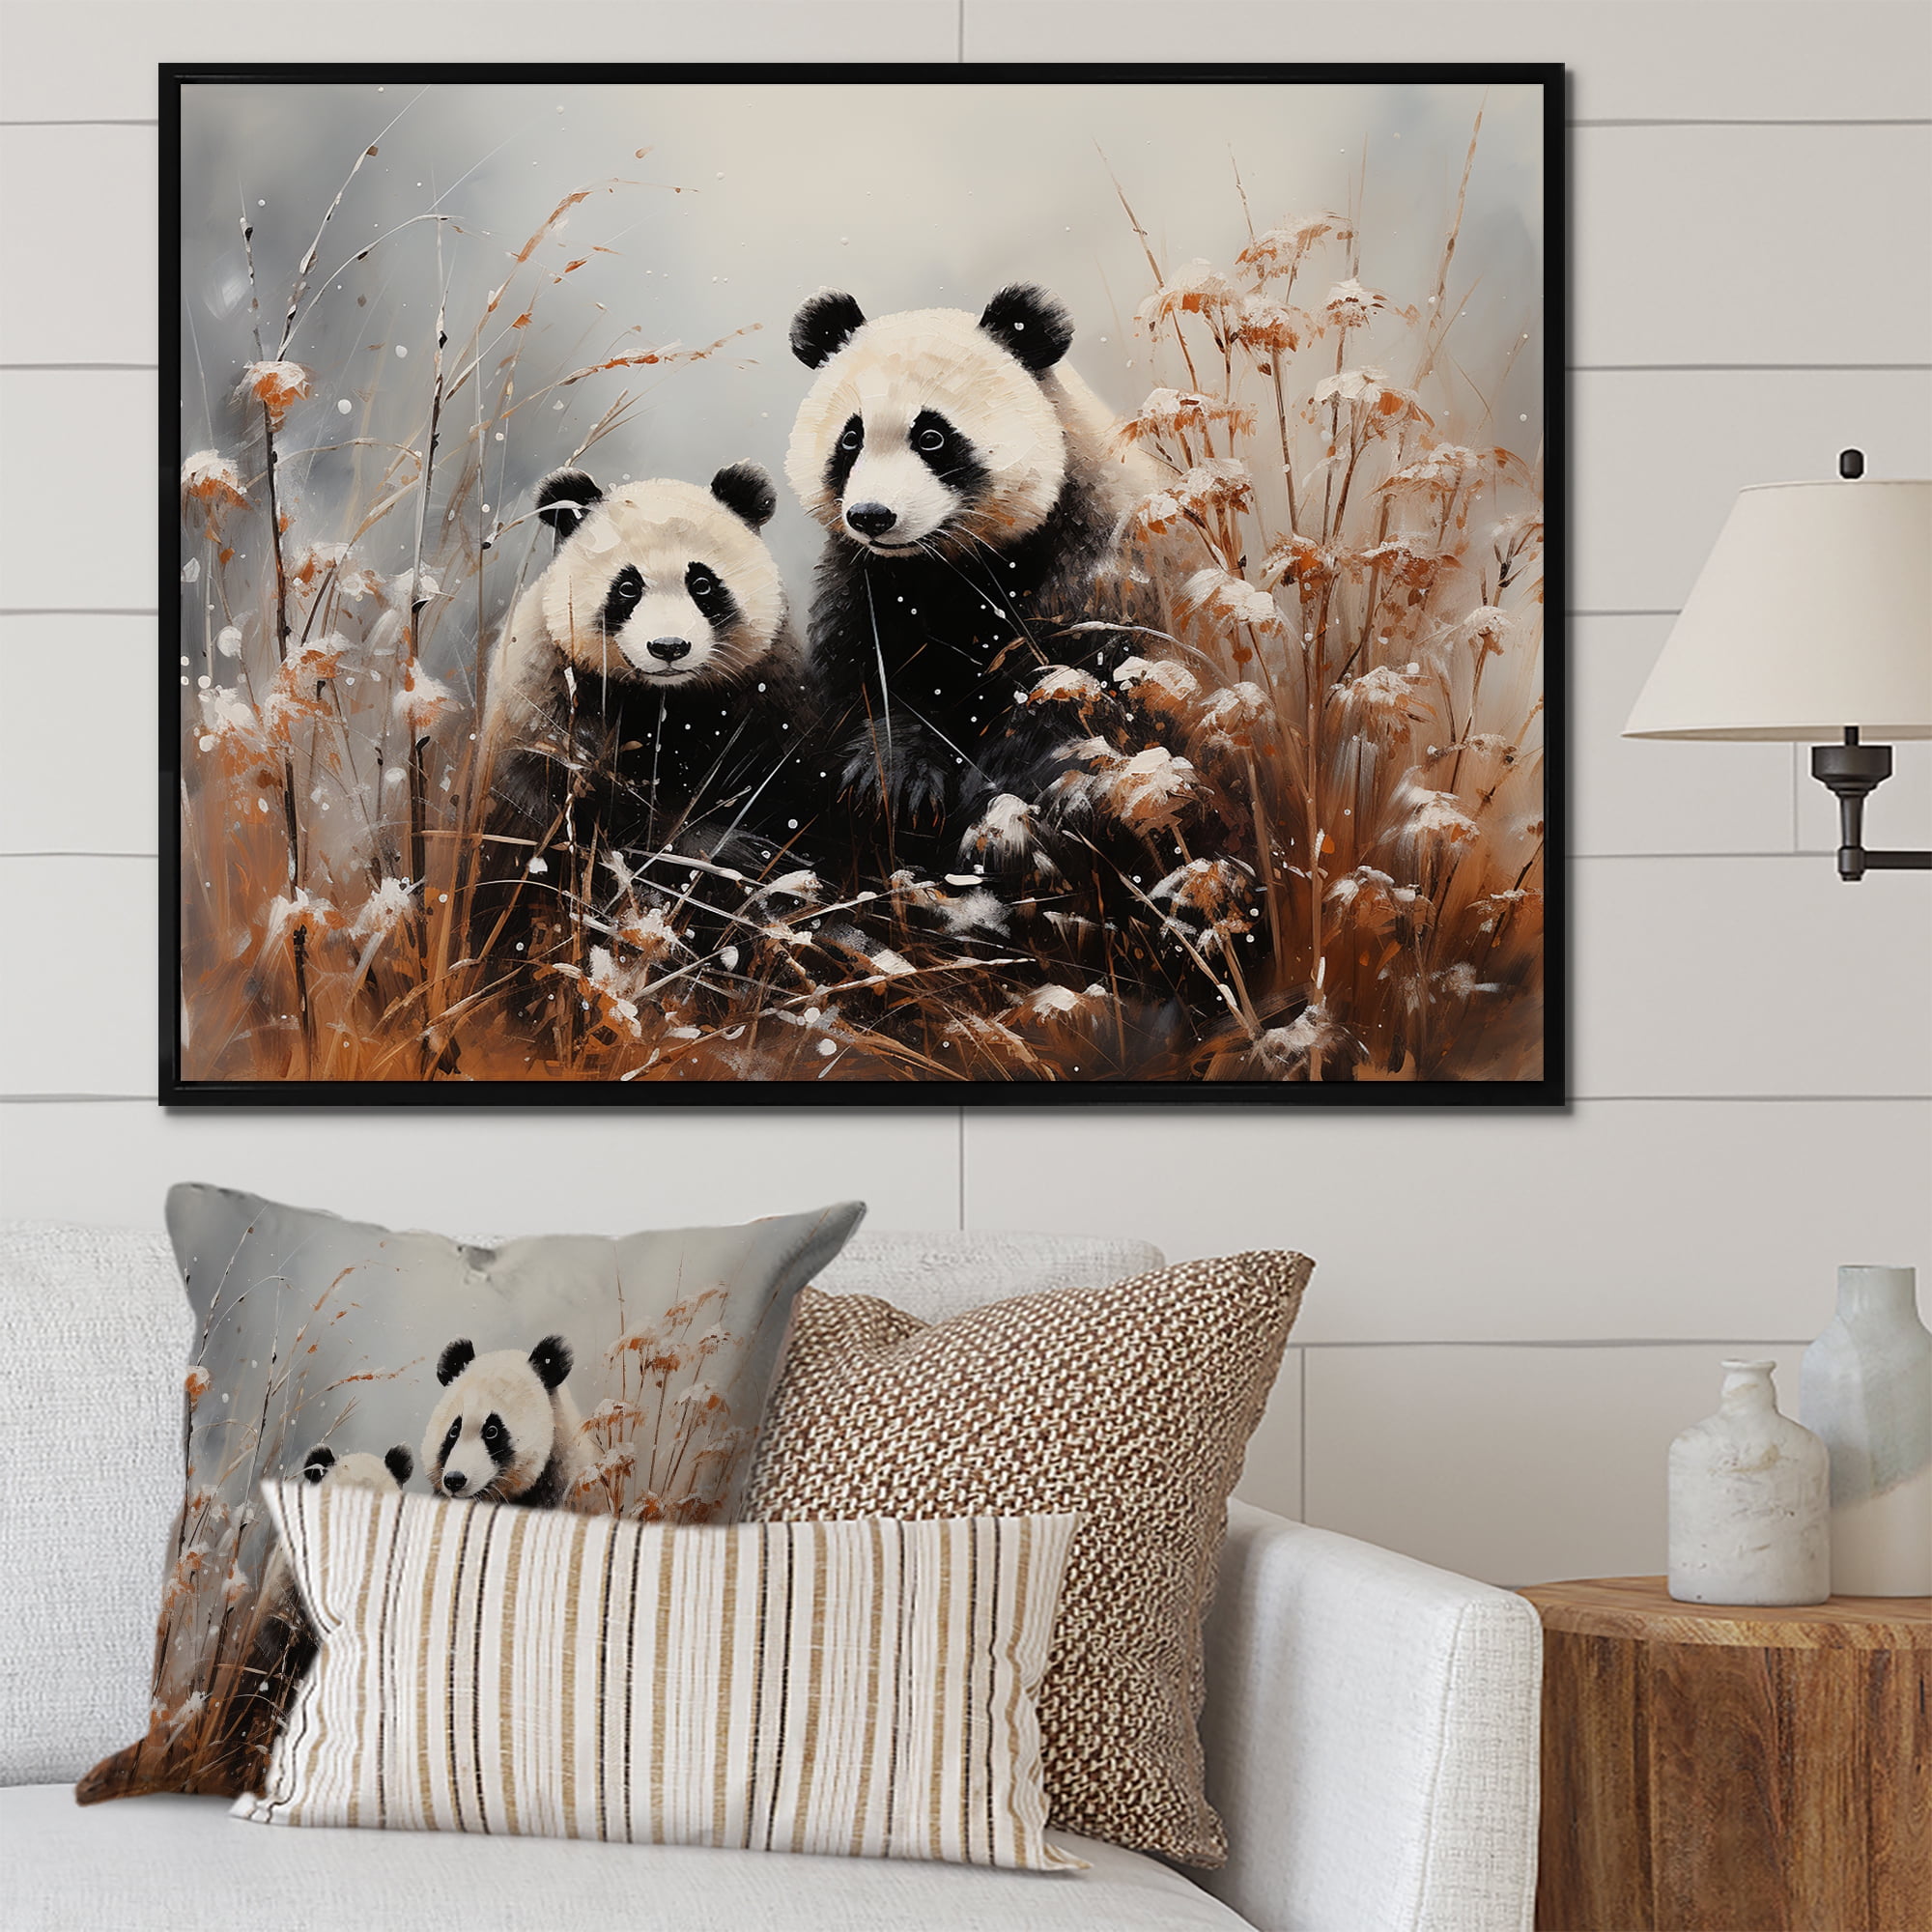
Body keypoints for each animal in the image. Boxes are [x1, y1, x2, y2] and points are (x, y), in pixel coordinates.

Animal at [471, 464, 818, 999]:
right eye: (627, 587)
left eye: (702, 583)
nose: (669, 646)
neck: (662, 699)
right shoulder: (550, 699)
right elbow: (585, 818)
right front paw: (713, 852)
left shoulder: (766, 695)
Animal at [785, 284, 1148, 884]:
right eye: (851, 438)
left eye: (932, 436)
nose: (871, 516)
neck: (946, 565)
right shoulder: (864, 584)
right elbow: (867, 684)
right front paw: (894, 780)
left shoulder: (1089, 572)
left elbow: (1070, 697)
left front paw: (997, 821)